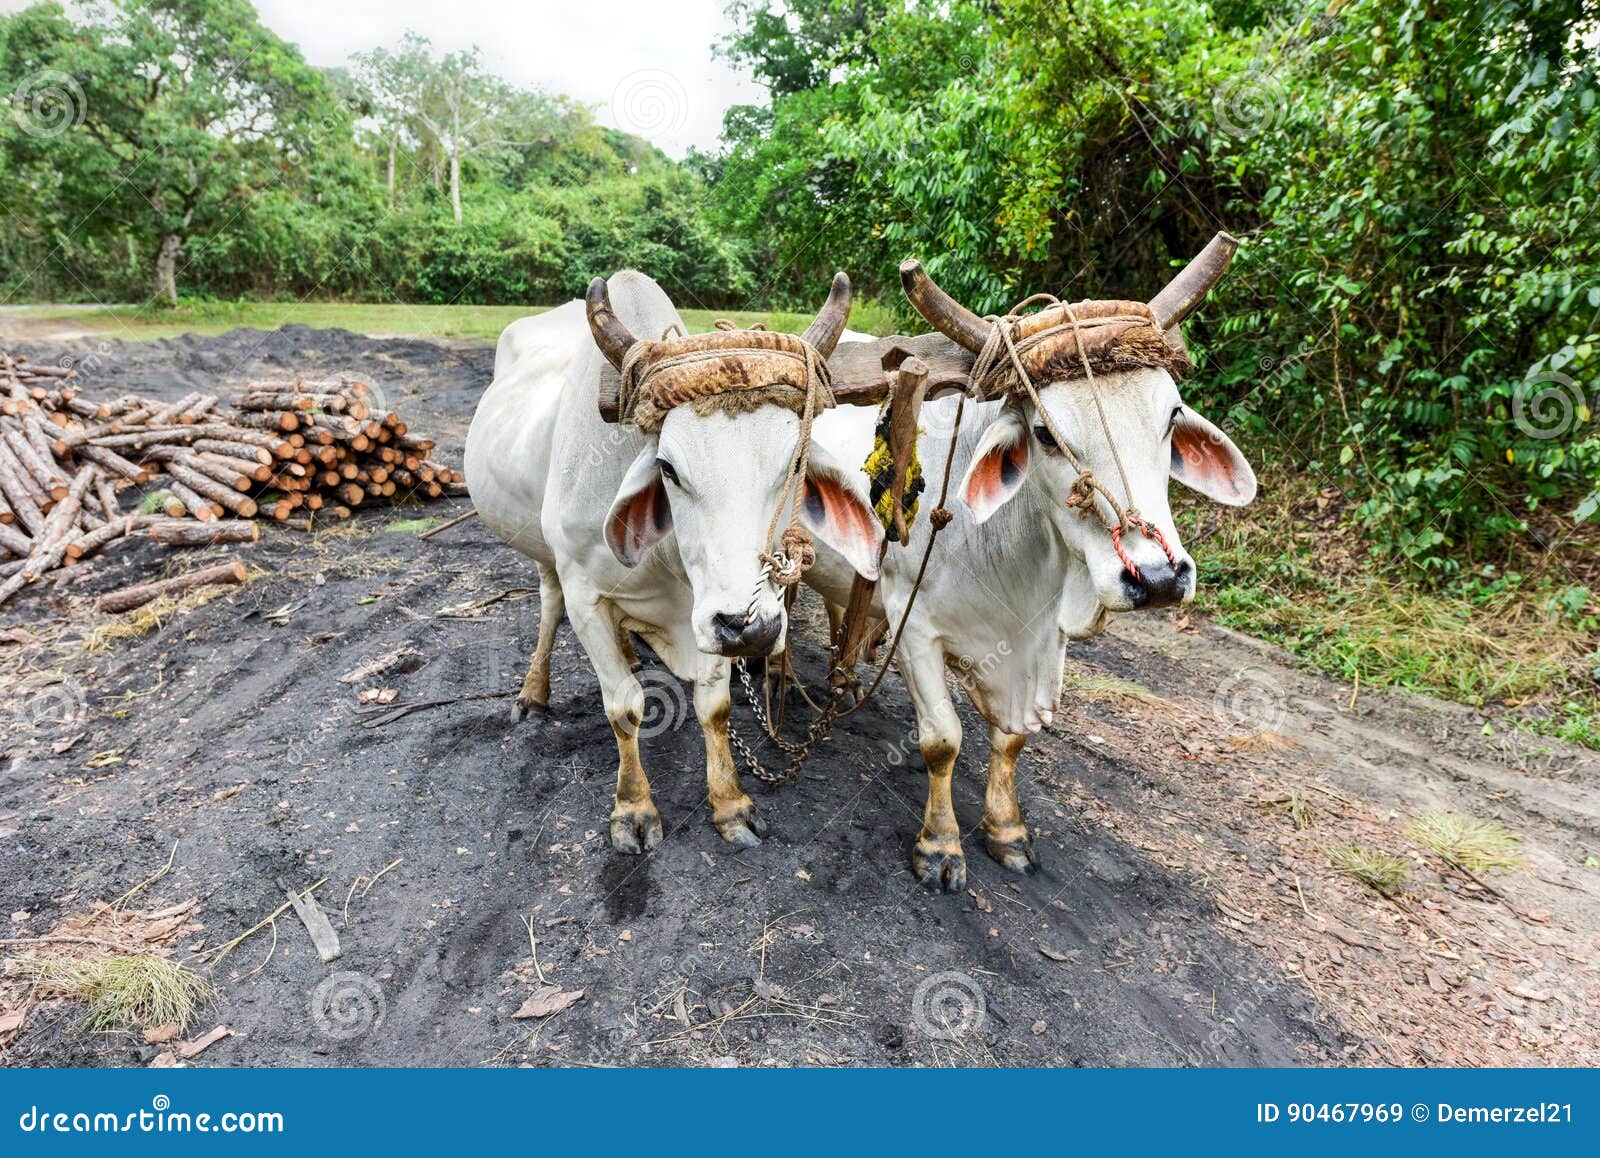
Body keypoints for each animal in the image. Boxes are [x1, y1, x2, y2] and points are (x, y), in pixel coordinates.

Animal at [464, 271, 883, 854]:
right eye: (667, 468)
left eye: (796, 462)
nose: (748, 627)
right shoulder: (586, 595)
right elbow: (624, 707)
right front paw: (633, 809)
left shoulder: (704, 614)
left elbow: (715, 706)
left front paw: (730, 803)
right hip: (544, 551)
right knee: (549, 604)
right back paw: (533, 691)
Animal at [803, 236, 1258, 892]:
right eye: (1045, 433)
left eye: (1171, 417)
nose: (1158, 578)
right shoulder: (916, 629)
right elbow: (943, 740)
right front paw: (940, 845)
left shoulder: (1038, 641)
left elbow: (1012, 740)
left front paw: (1006, 829)